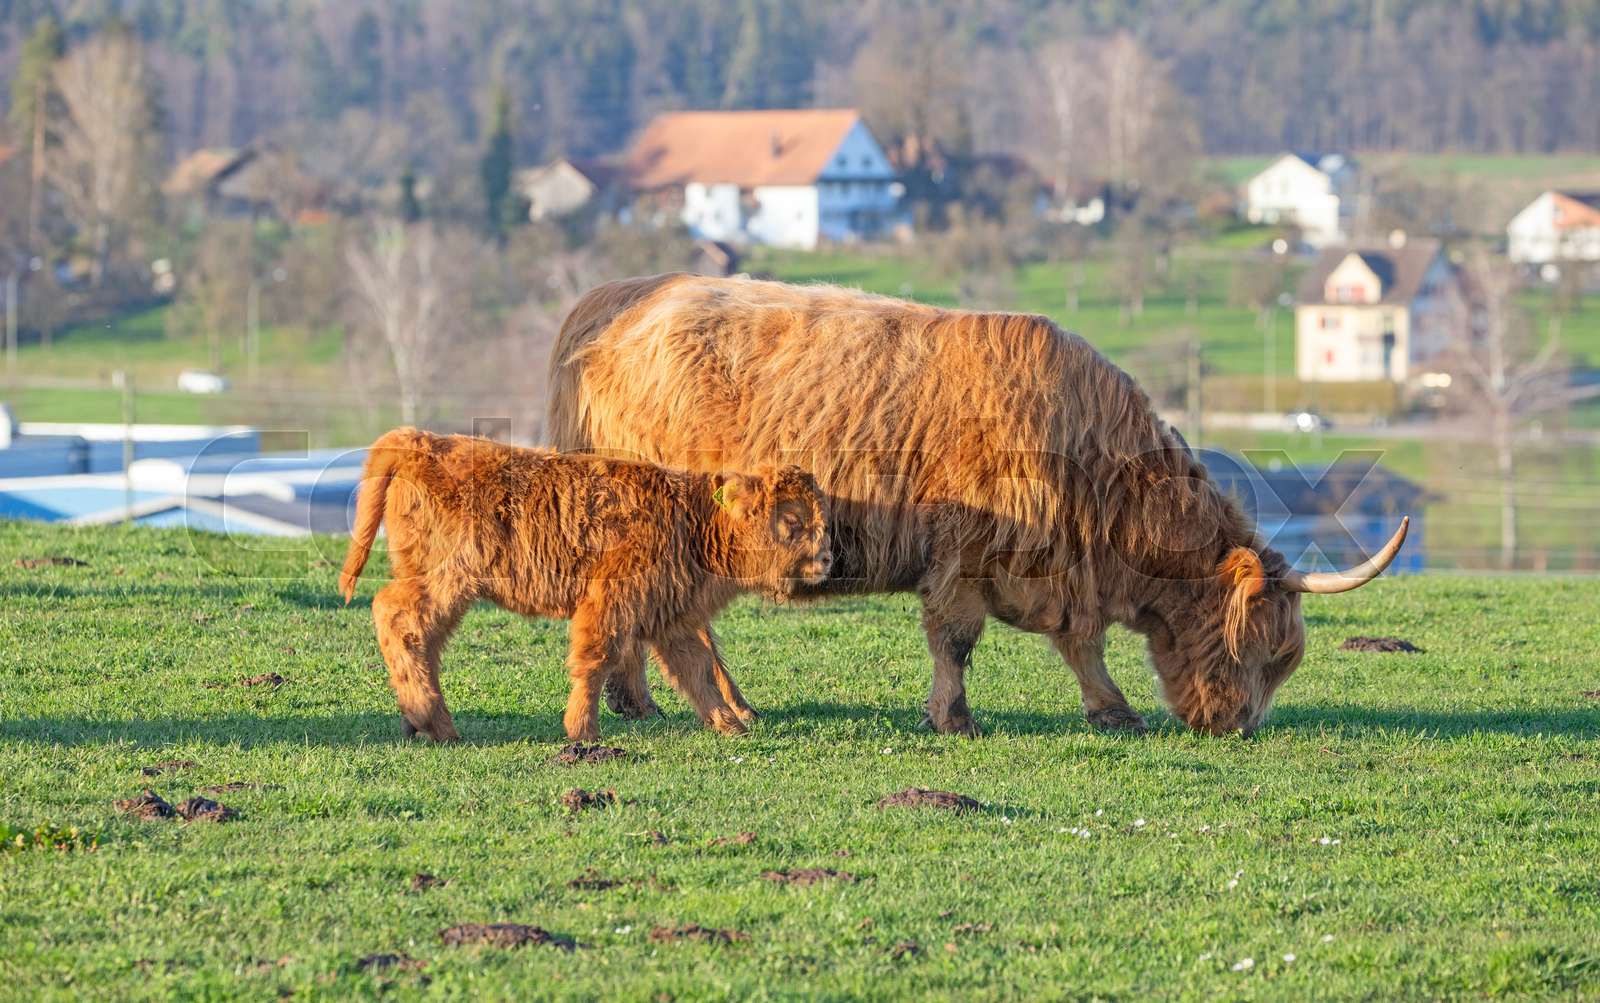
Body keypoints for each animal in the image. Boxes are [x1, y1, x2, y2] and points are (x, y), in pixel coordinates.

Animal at [338, 427, 831, 742]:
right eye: (791, 519)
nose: (826, 558)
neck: (692, 517)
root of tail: (418, 442)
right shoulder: (609, 604)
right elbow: (596, 660)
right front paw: (583, 731)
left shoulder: (669, 620)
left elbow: (697, 671)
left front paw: (731, 725)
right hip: (450, 580)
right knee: (395, 614)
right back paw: (436, 723)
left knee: (424, 640)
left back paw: (422, 722)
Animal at [546, 274, 1407, 737]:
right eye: (1267, 648)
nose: (1236, 723)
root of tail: (617, 298)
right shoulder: (963, 556)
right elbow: (956, 642)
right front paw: (954, 717)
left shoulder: (1057, 575)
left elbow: (1081, 645)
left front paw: (1112, 709)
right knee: (675, 620)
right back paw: (708, 705)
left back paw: (650, 701)